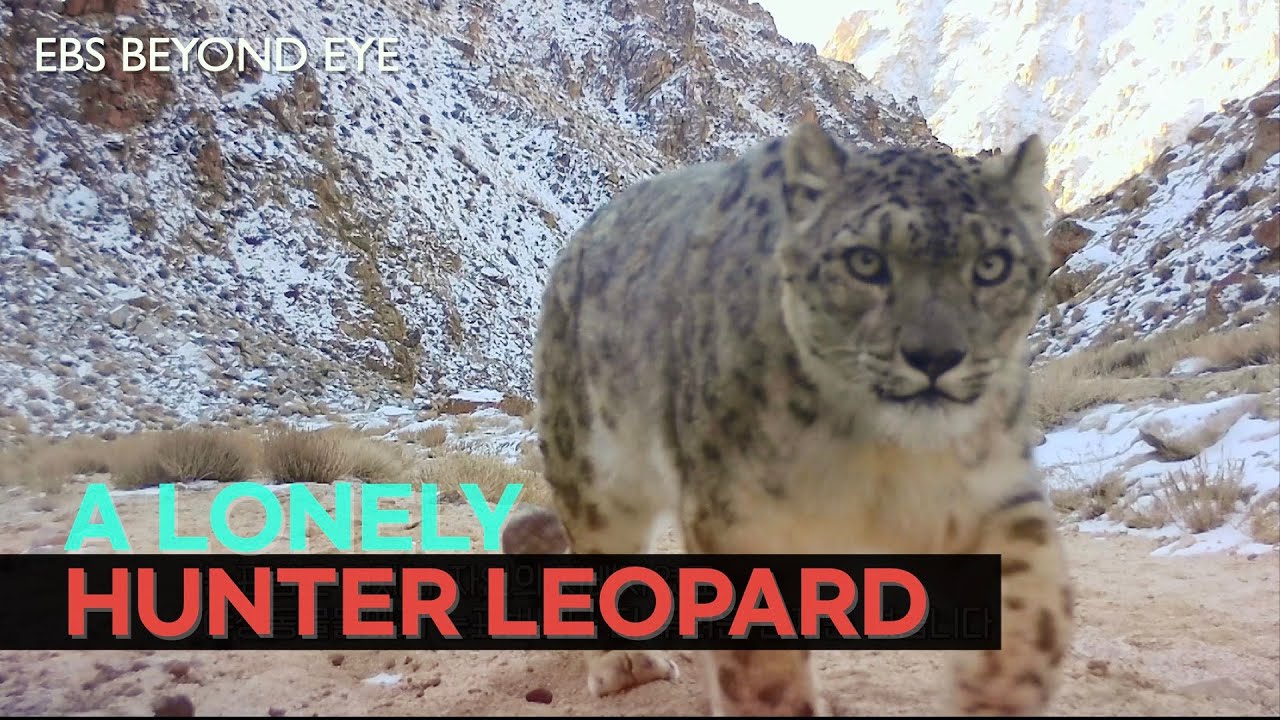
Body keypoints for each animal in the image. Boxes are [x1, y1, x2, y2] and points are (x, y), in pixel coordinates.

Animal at [501, 121, 1074, 716]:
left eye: (992, 265)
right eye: (865, 261)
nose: (935, 356)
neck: (883, 457)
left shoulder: (992, 487)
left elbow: (1032, 593)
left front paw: (999, 692)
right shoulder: (740, 516)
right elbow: (762, 664)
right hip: (592, 465)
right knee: (600, 550)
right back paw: (626, 661)